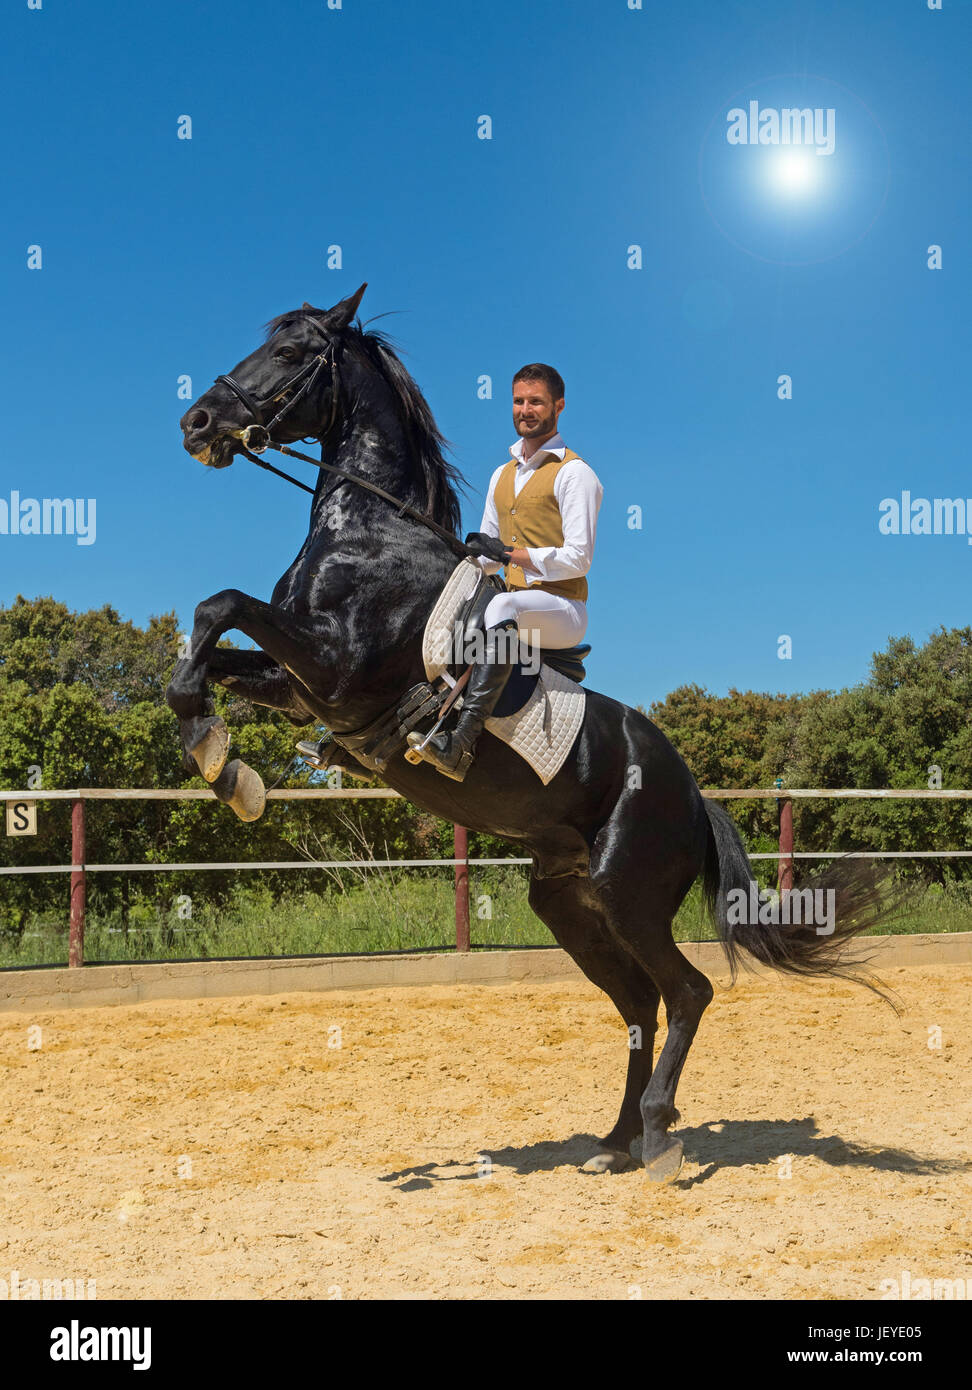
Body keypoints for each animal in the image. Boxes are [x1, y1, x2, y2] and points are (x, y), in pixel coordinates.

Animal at [167, 283, 894, 1182]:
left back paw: (658, 1136)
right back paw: (614, 1141)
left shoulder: (335, 669)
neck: (367, 532)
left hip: (626, 891)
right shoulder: (304, 690)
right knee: (640, 1002)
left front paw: (217, 756)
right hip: (566, 901)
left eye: (294, 352)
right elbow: (210, 642)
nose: (196, 421)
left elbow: (219, 604)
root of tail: (695, 797)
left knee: (686, 992)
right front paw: (223, 762)